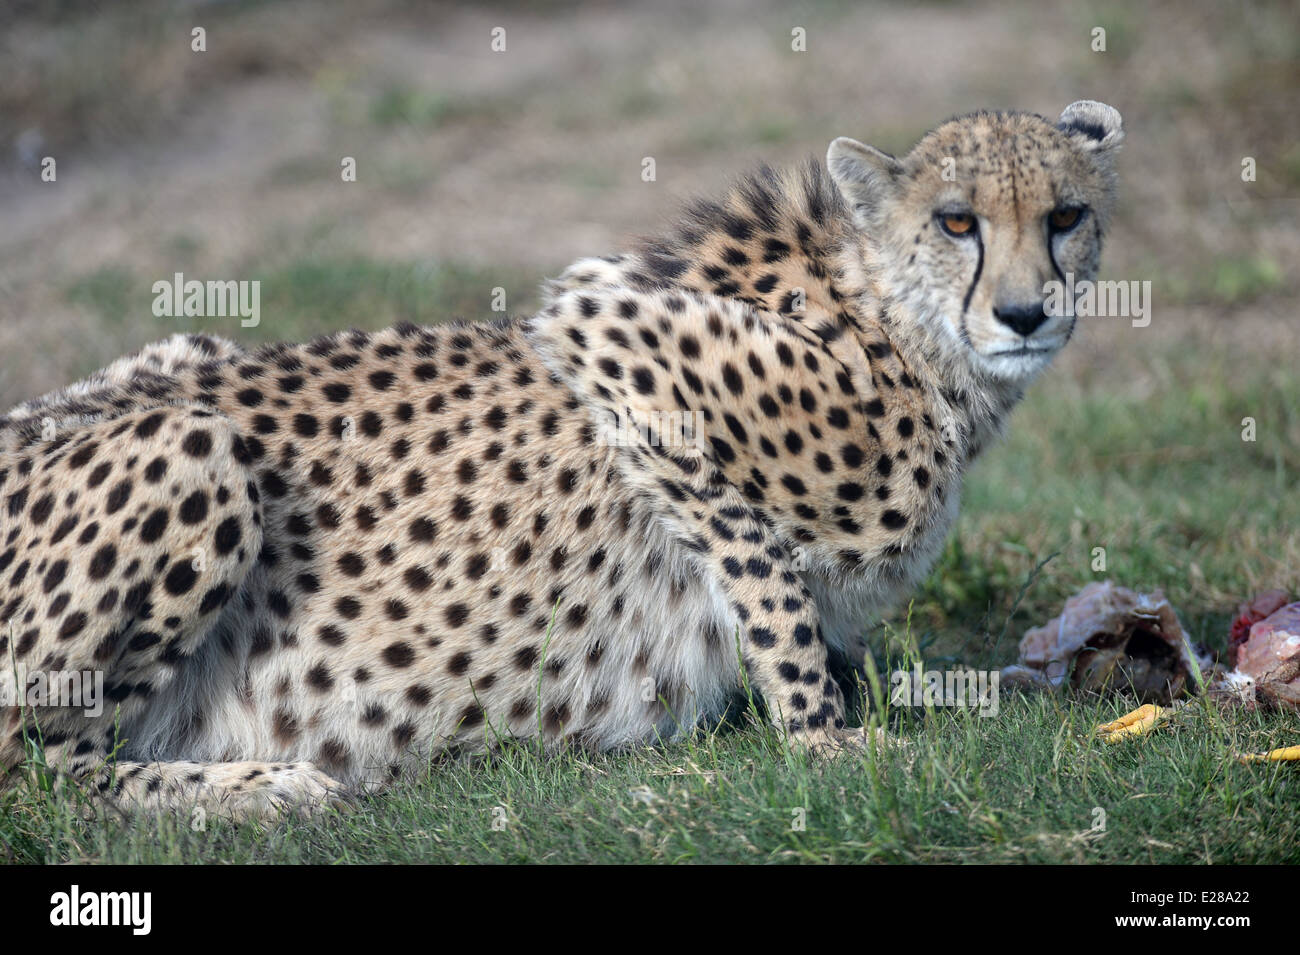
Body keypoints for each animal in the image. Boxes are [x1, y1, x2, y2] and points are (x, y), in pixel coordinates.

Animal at [0, 101, 1123, 819]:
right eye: (956, 221)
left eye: (1066, 217)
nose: (1026, 313)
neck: (901, 324)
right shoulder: (608, 330)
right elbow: (769, 591)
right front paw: (824, 737)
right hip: (190, 443)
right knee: (40, 772)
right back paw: (258, 788)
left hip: (186, 353)